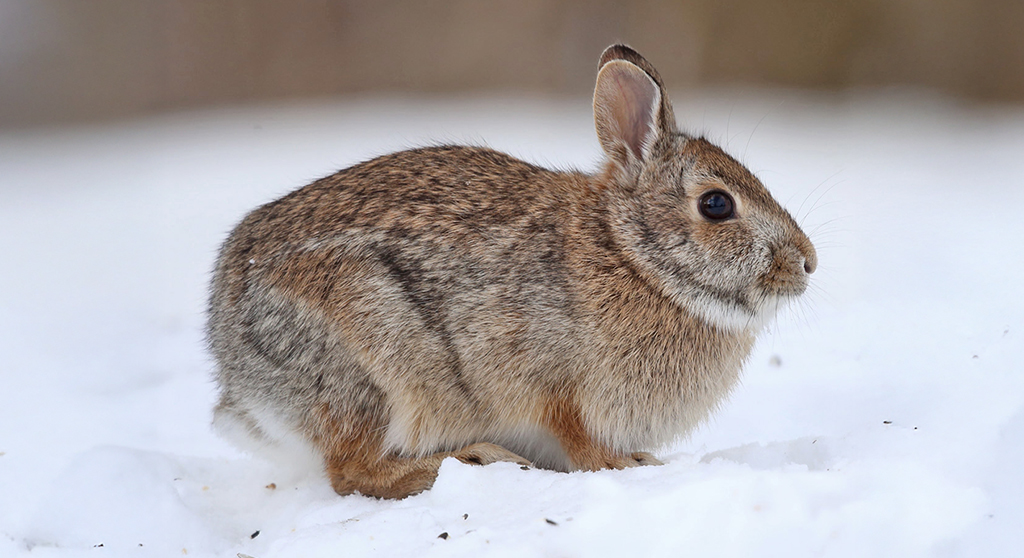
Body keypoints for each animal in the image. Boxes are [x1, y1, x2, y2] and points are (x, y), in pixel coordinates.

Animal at [207, 44, 817, 499]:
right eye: (716, 204)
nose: (807, 262)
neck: (634, 258)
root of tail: (236, 376)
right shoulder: (558, 387)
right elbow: (582, 445)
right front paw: (632, 468)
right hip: (374, 365)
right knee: (353, 473)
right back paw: (478, 458)